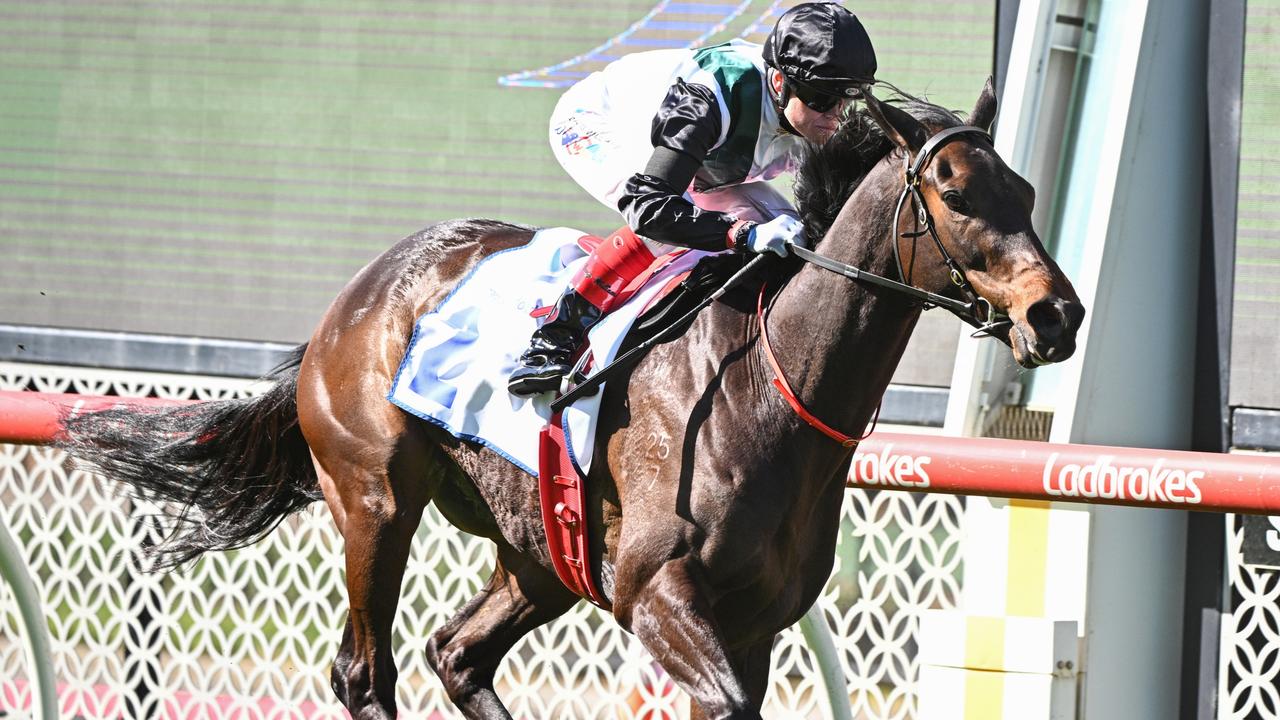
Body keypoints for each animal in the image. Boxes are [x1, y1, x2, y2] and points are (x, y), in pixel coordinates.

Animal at [60, 79, 1084, 720]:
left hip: (540, 550)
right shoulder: (655, 589)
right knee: (364, 671)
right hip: (374, 499)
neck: (770, 384)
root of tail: (358, 292)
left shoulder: (754, 622)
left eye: (1027, 189)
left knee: (456, 653)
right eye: (954, 193)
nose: (1057, 313)